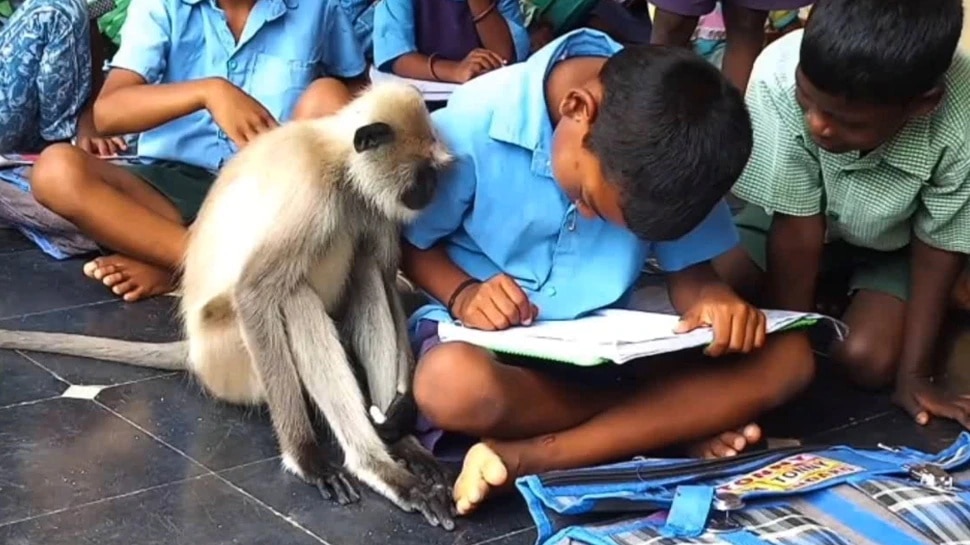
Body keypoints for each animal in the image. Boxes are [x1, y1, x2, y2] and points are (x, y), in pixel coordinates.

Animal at [0, 82, 456, 529]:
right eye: (423, 174)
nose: (432, 191)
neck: (337, 162)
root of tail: (195, 352)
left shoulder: (371, 201)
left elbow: (384, 276)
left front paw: (404, 419)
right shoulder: (311, 191)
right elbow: (255, 293)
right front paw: (306, 458)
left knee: (364, 272)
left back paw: (403, 450)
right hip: (231, 357)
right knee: (293, 296)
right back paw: (375, 467)